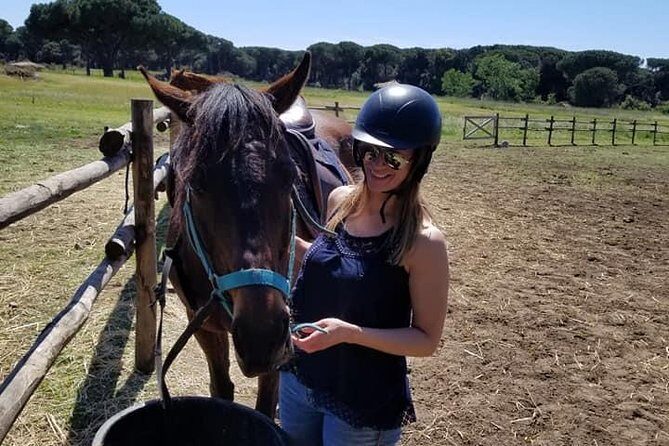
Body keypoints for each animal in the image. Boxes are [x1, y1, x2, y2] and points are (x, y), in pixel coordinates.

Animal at [139, 52, 353, 418]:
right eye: (195, 183)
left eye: (290, 176)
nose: (261, 334)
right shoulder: (205, 327)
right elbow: (221, 389)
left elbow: (265, 404)